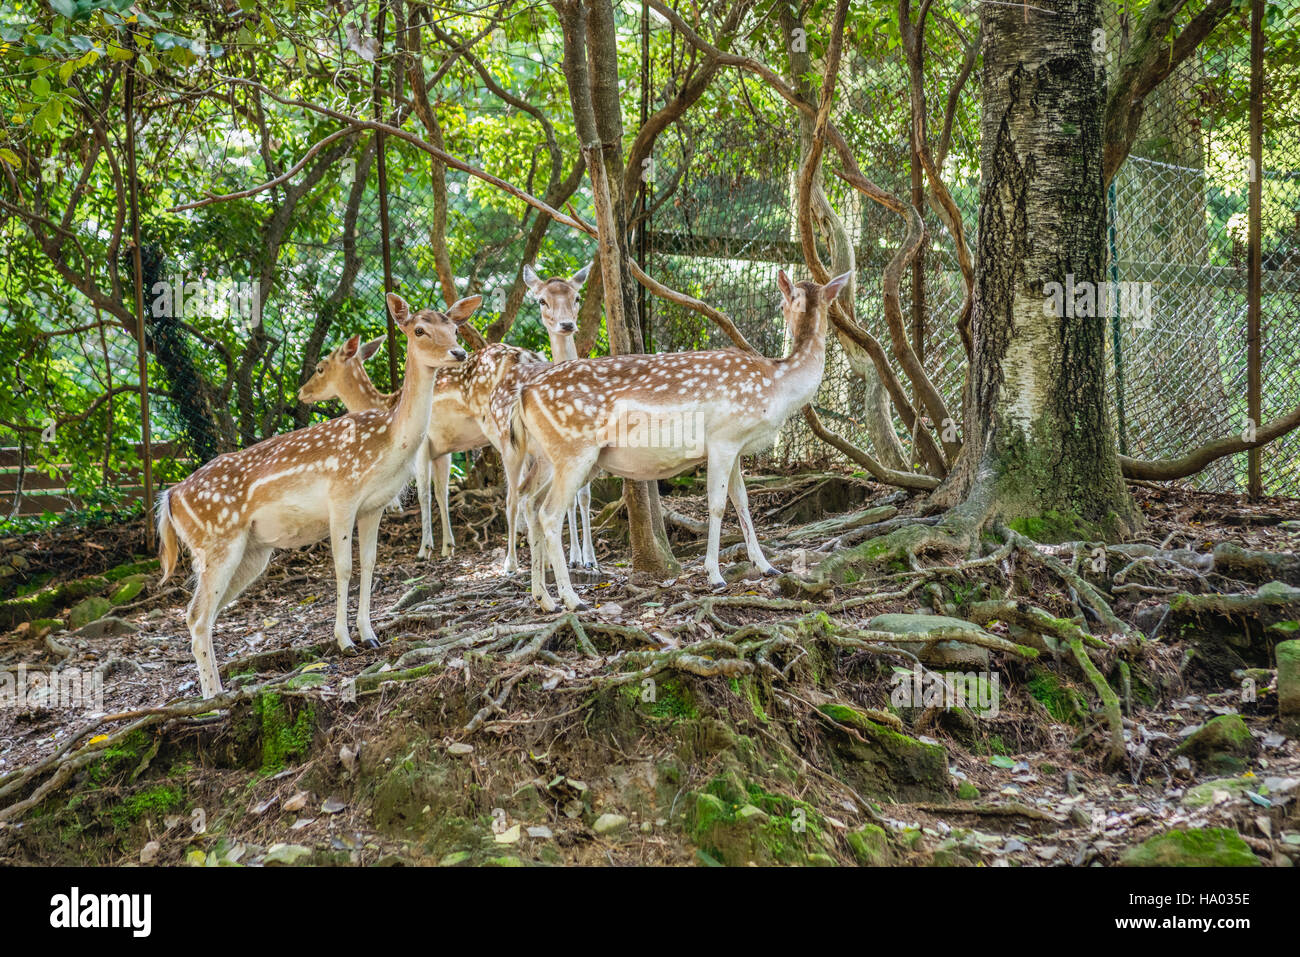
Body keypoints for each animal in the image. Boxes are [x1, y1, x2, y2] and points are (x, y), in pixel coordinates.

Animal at [157, 292, 478, 698]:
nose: (458, 352)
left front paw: (370, 635)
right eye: (419, 329)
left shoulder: (374, 506)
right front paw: (345, 641)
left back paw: (218, 689)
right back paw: (213, 697)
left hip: (250, 554)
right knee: (196, 615)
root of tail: (169, 498)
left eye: (455, 329)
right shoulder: (342, 496)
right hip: (215, 541)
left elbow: (369, 564)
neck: (388, 443)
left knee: (204, 614)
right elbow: (343, 568)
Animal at [511, 269, 851, 612]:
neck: (777, 385)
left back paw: (544, 599)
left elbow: (742, 501)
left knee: (530, 501)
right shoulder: (723, 438)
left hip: (552, 456)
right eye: (783, 303)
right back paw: (572, 599)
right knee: (548, 513)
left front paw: (766, 566)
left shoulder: (736, 447)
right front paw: (715, 575)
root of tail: (524, 392)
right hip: (573, 450)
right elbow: (717, 504)